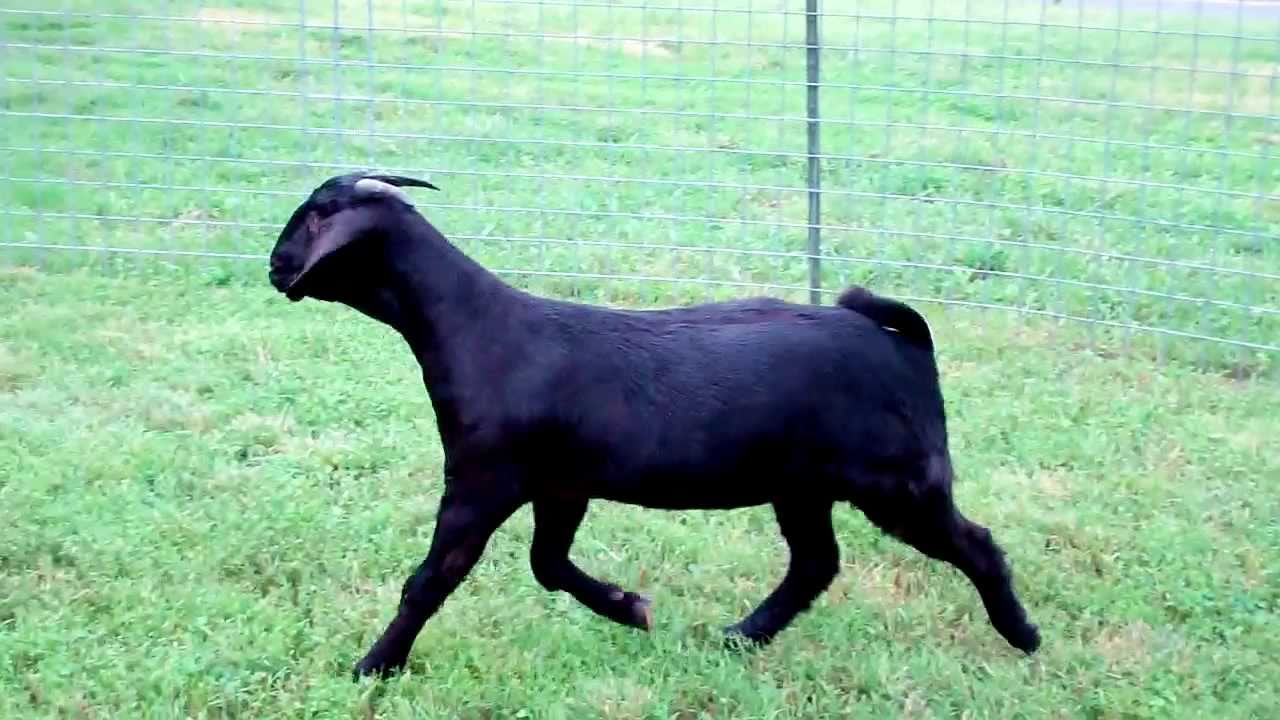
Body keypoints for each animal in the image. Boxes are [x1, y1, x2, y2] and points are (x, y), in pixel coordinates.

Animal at [266, 172, 1041, 680]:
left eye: (311, 217)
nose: (274, 268)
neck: (479, 330)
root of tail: (903, 339)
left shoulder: (484, 480)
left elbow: (432, 579)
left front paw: (373, 666)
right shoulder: (561, 484)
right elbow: (548, 565)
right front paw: (629, 606)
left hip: (896, 481)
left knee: (974, 545)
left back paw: (1022, 634)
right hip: (802, 484)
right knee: (816, 563)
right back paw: (741, 637)